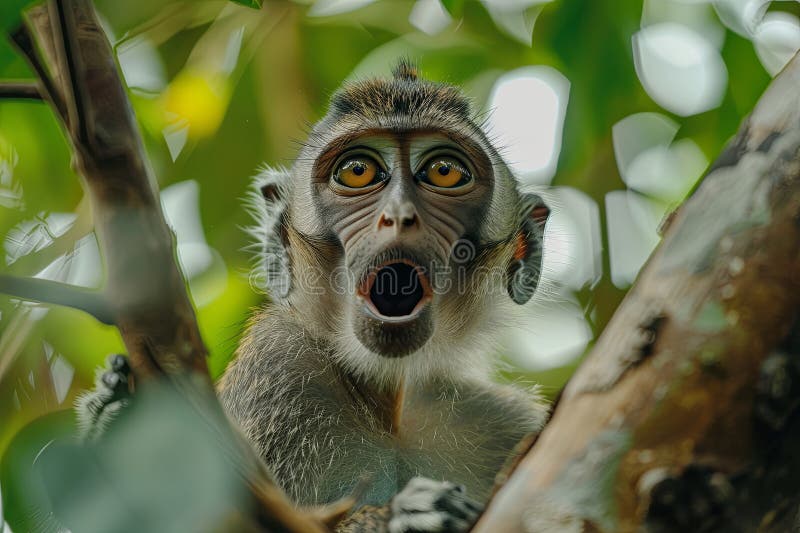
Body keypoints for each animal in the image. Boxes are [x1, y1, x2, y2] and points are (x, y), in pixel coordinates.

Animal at [77, 60, 551, 532]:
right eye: (358, 171)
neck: (391, 403)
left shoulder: (500, 419)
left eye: (444, 172)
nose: (399, 215)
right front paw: (406, 515)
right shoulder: (277, 366)